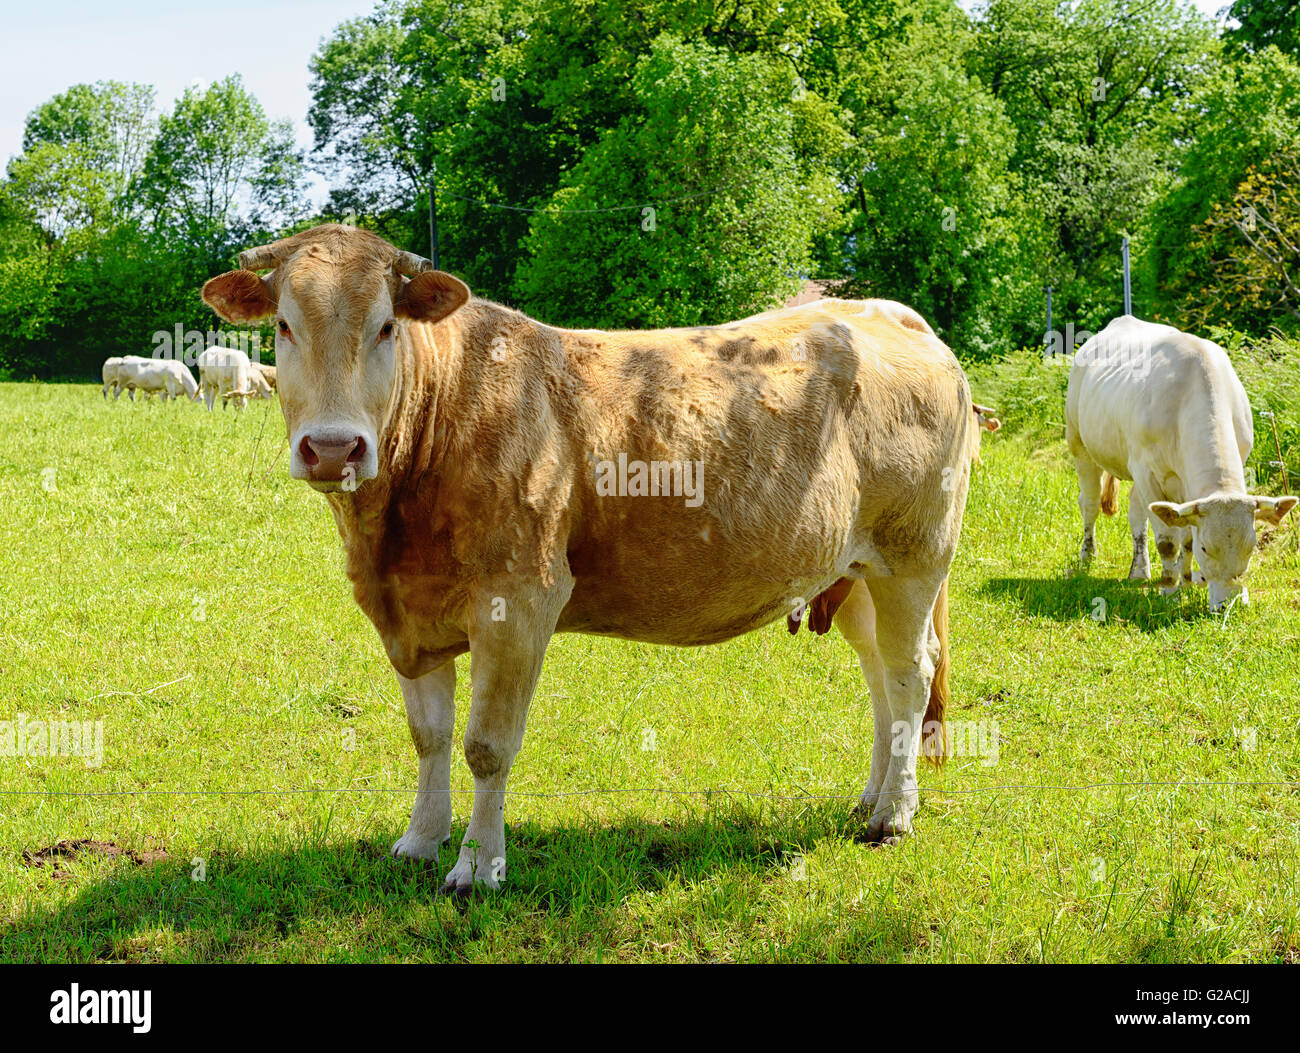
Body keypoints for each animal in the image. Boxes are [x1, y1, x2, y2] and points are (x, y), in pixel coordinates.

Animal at [202, 224, 978, 894]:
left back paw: (893, 814)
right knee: (879, 677)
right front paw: (421, 840)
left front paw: (477, 866)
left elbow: (486, 744)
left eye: (386, 327)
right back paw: (871, 797)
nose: (333, 448)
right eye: (283, 326)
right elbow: (429, 736)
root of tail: (882, 313)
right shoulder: (407, 613)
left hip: (914, 555)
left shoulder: (518, 601)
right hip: (855, 572)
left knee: (910, 674)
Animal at [1066, 315, 1296, 610]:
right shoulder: (1147, 473)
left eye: (1253, 546)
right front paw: (1169, 588)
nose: (1230, 604)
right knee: (1090, 503)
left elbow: (1185, 537)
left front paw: (1186, 581)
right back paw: (1087, 556)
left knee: (1136, 510)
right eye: (1206, 548)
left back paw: (1139, 570)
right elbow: (1168, 542)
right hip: (1079, 444)